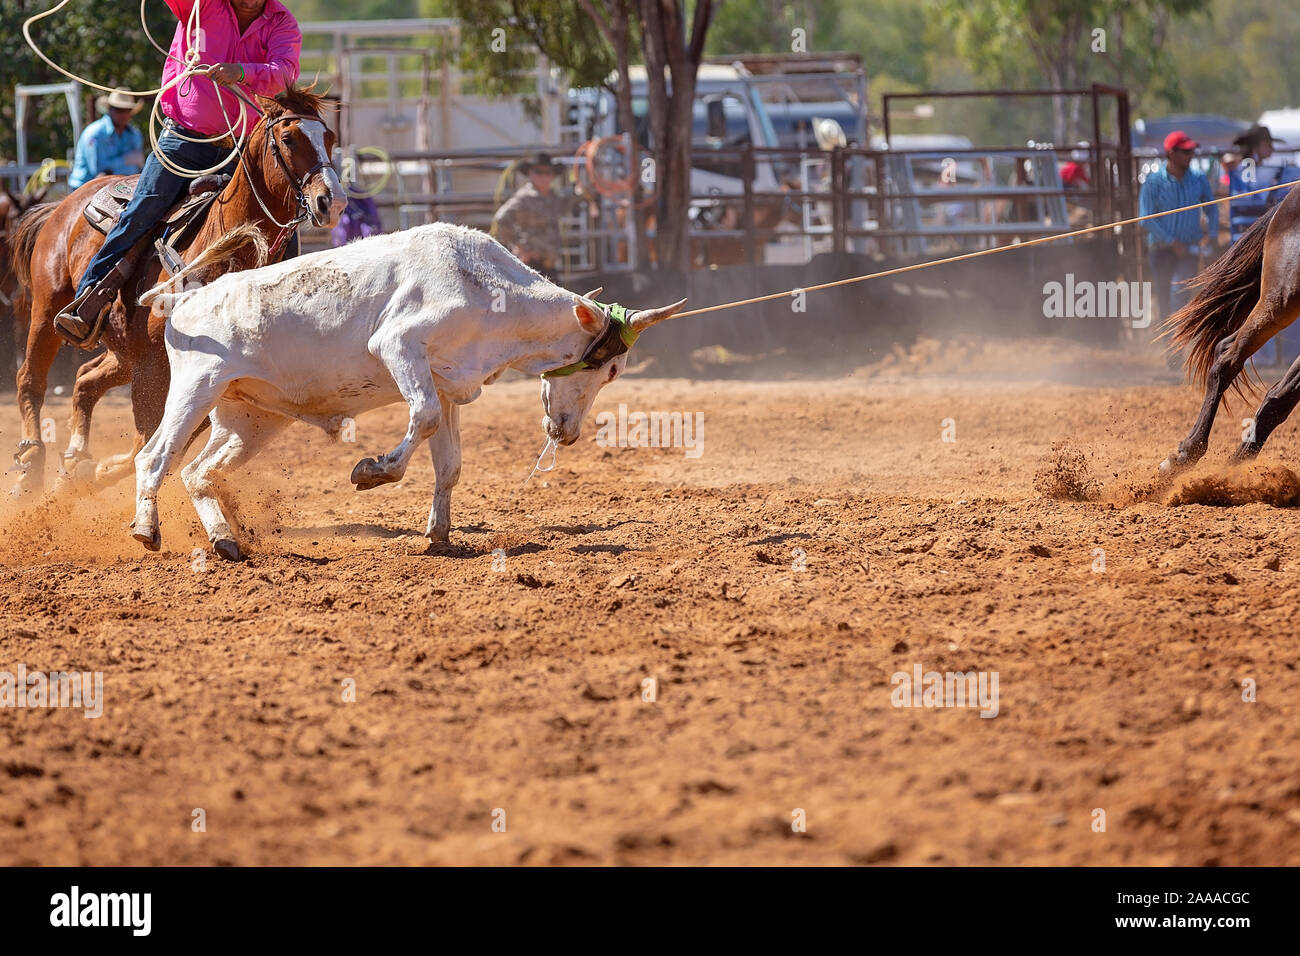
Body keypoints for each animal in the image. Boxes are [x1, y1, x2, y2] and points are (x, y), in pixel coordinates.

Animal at [131, 222, 687, 560]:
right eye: (610, 369)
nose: (566, 433)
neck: (488, 289)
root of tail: (187, 298)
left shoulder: (446, 384)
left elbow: (449, 462)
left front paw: (438, 533)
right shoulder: (398, 346)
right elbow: (422, 419)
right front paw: (372, 471)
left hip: (250, 418)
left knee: (199, 472)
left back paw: (225, 541)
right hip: (195, 388)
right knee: (154, 458)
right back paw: (146, 528)